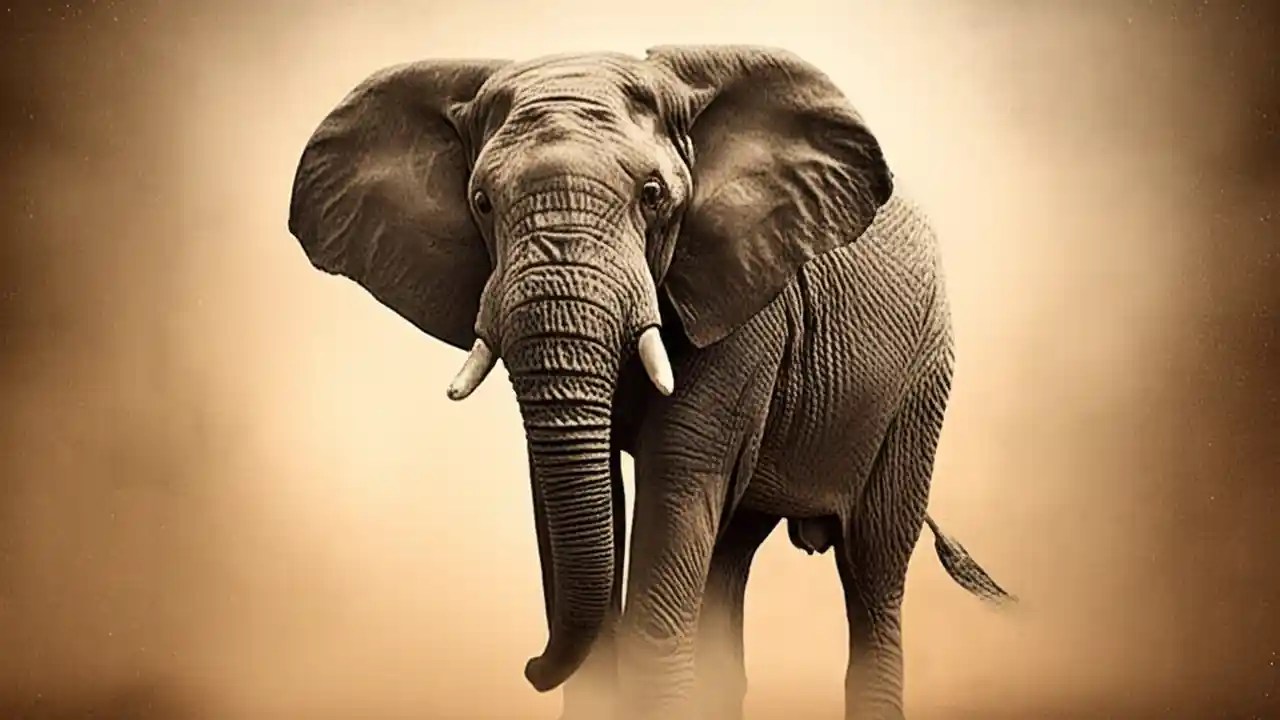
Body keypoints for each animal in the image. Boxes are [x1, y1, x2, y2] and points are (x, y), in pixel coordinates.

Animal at [287, 45, 1013, 720]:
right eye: (482, 202)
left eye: (653, 195)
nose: (529, 666)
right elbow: (573, 495)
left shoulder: (746, 299)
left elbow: (678, 470)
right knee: (729, 557)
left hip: (922, 381)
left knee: (873, 573)